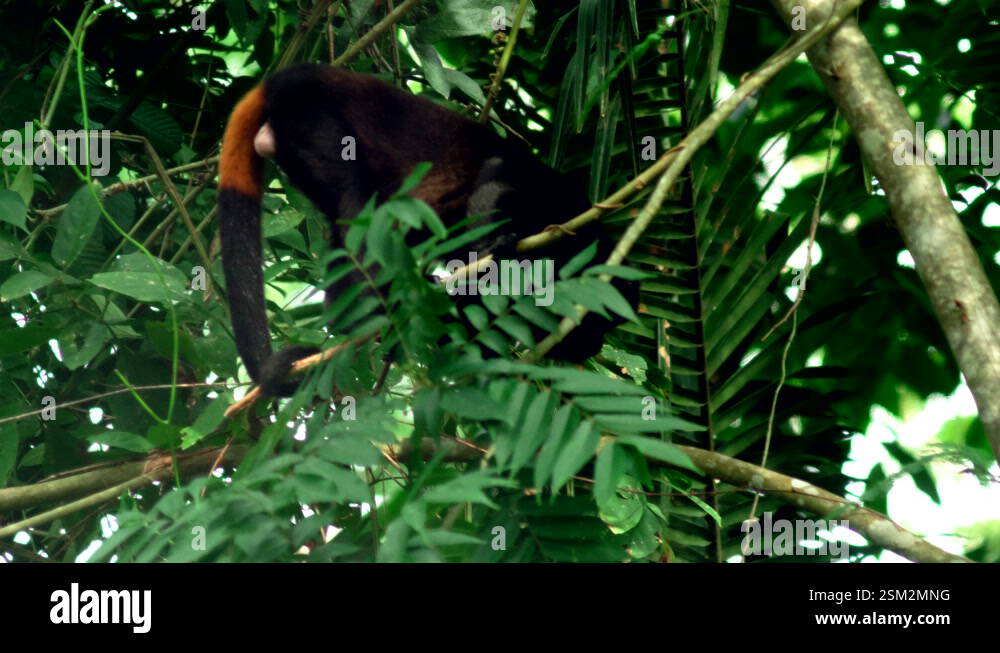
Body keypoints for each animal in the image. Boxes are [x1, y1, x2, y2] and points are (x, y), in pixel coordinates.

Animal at [217, 63, 634, 397]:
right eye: (598, 318)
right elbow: (494, 180)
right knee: (362, 203)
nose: (594, 346)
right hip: (313, 120)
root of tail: (287, 77)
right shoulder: (557, 200)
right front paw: (496, 246)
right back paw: (374, 311)